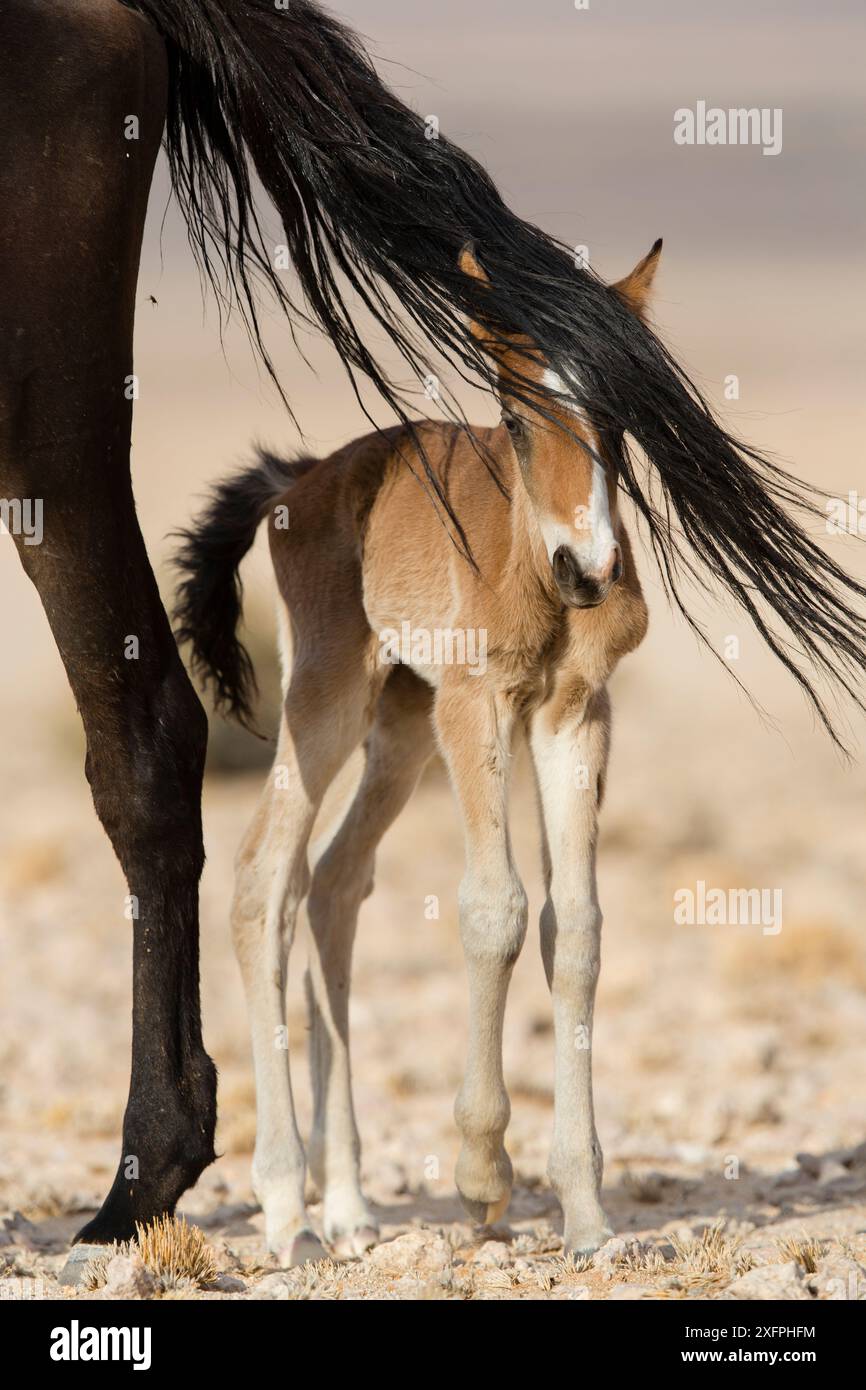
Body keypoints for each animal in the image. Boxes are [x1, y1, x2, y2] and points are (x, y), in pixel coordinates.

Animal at [2, 0, 864, 1249]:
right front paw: (480, 1174)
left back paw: (347, 1201)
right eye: (514, 405)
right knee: (264, 879)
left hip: (396, 724)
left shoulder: (574, 715)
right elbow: (492, 907)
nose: (588, 566)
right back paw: (279, 1202)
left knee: (330, 885)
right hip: (329, 699)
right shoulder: (477, 705)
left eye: (620, 406)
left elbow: (575, 926)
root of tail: (298, 477)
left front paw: (586, 1209)